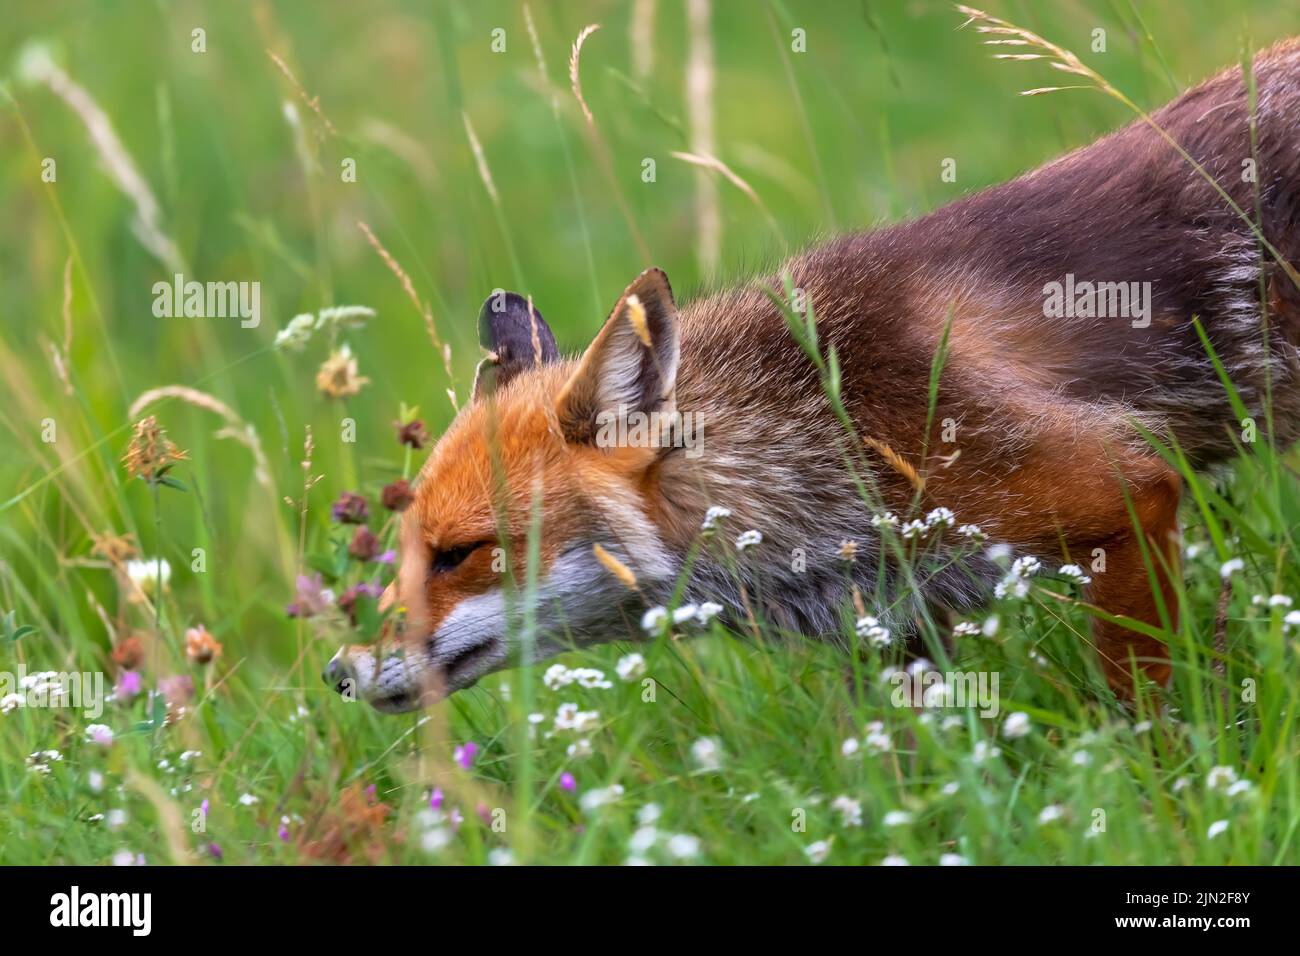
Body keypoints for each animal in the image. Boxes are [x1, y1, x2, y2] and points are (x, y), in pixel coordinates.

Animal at [325, 39, 1300, 714]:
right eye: (401, 555)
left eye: (459, 555)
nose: (337, 671)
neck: (818, 436)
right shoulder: (902, 628)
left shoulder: (1122, 494)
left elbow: (1144, 706)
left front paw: (1162, 789)